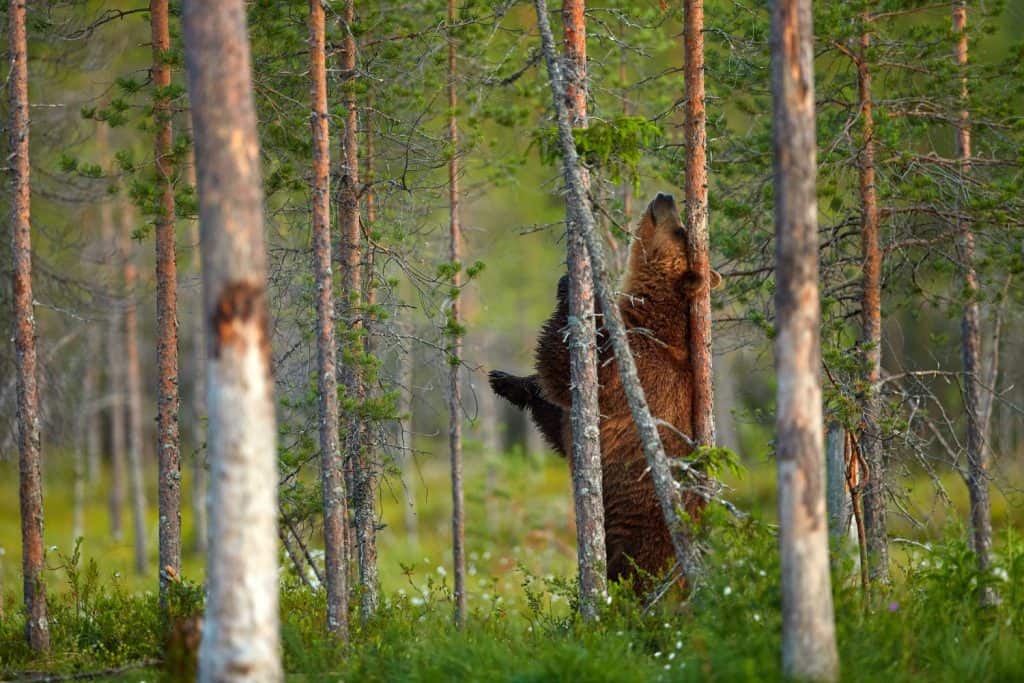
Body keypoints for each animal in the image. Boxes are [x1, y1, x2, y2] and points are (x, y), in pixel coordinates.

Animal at [489, 192, 720, 590]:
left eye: (679, 229)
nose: (665, 197)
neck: (650, 320)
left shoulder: (629, 370)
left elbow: (564, 372)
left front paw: (571, 288)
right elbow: (557, 419)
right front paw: (503, 379)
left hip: (643, 536)